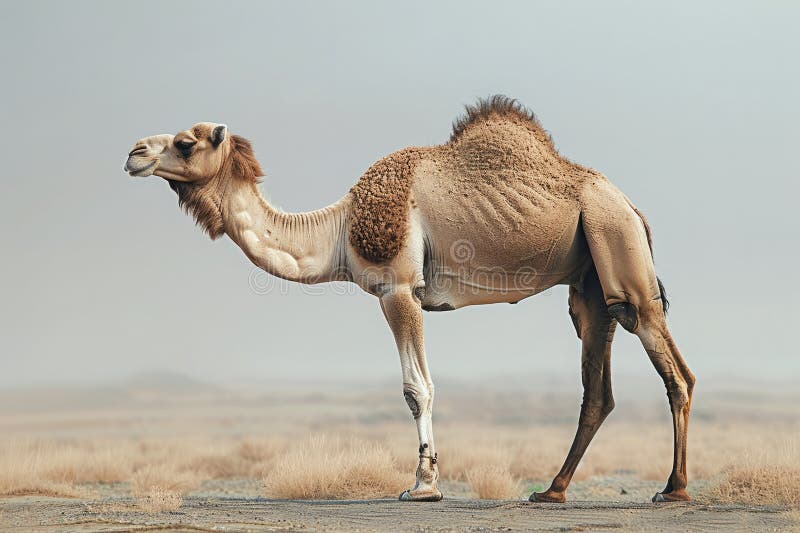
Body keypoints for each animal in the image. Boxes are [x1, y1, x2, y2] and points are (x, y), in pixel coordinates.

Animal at [123, 96, 695, 504]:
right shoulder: (403, 292)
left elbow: (417, 388)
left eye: (184, 143)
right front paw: (428, 480)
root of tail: (632, 207)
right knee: (598, 386)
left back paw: (672, 489)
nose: (133, 154)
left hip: (617, 246)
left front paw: (423, 485)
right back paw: (551, 491)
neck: (336, 229)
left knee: (674, 369)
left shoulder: (397, 288)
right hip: (590, 287)